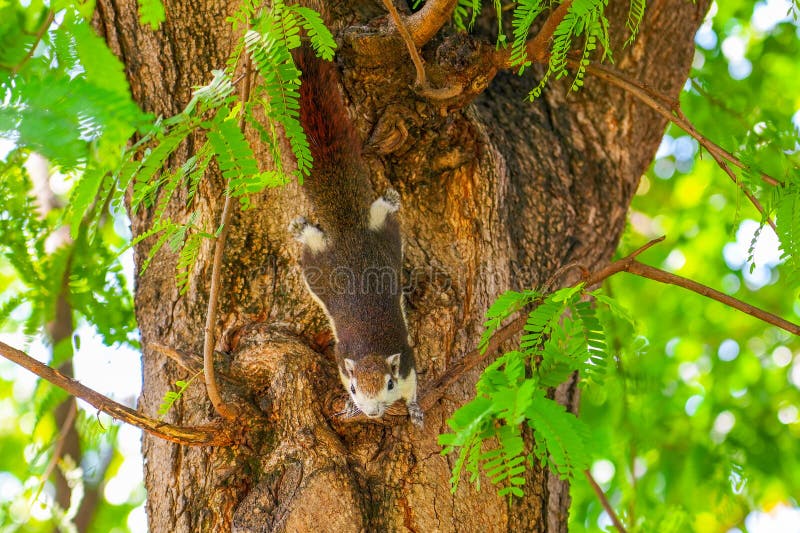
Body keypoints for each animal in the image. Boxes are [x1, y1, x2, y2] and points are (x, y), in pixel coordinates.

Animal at [288, 47, 423, 427]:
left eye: (389, 384)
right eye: (352, 388)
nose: (371, 411)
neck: (370, 349)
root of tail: (348, 231)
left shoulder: (406, 361)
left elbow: (413, 387)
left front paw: (415, 409)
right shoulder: (340, 359)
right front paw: (350, 409)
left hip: (380, 244)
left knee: (381, 217)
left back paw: (388, 201)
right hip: (319, 269)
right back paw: (302, 229)